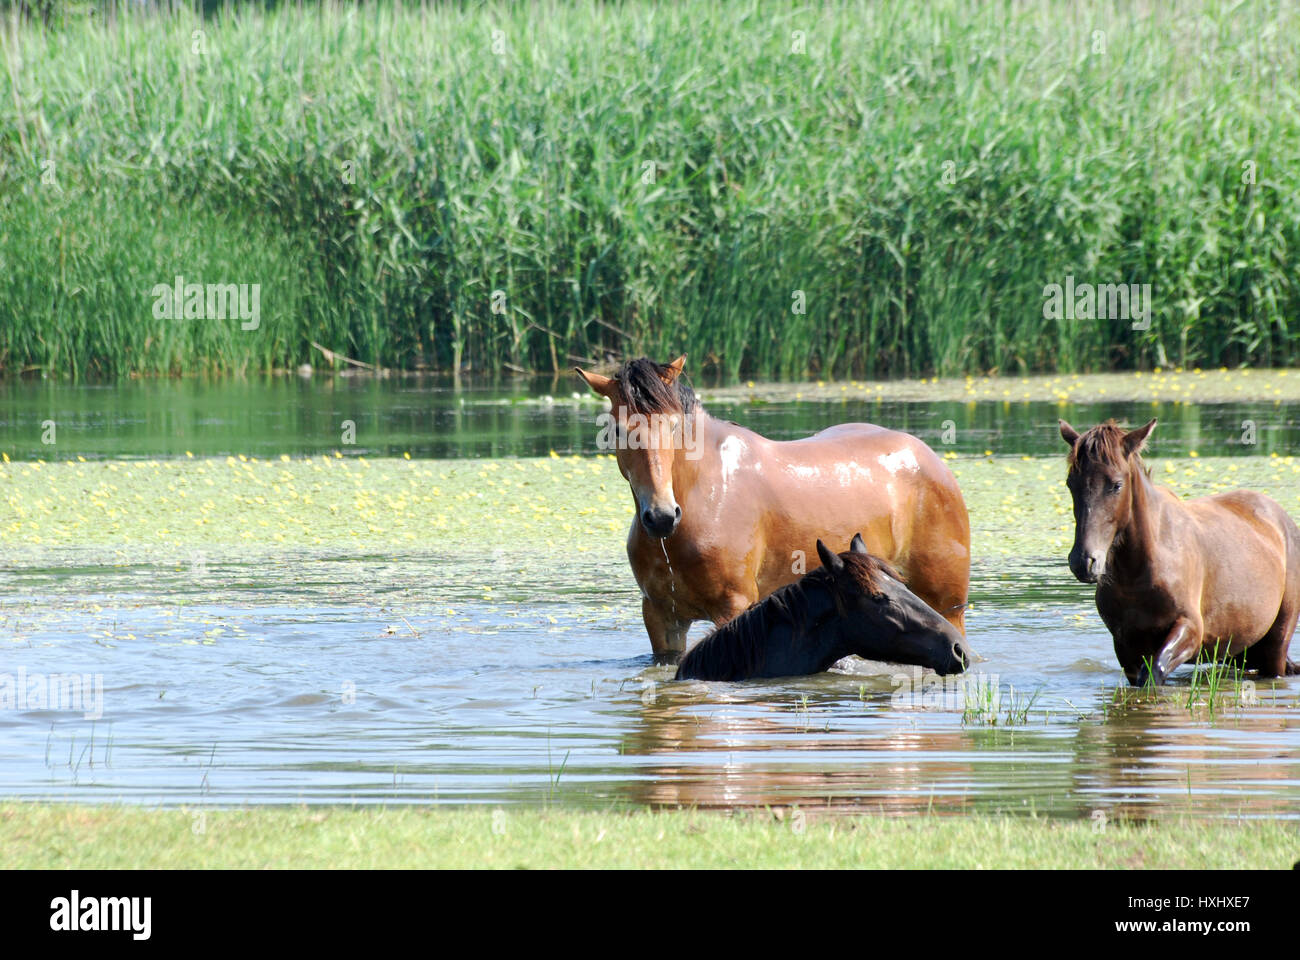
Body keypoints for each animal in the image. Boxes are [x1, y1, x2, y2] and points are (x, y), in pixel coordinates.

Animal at [575, 355, 971, 663]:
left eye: (674, 426)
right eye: (617, 430)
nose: (660, 517)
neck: (706, 499)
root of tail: (930, 459)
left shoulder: (732, 608)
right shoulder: (661, 618)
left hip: (947, 604)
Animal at [1059, 417, 1300, 685]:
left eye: (1116, 485)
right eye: (1071, 483)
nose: (1083, 562)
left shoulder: (1190, 629)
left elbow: (1154, 673)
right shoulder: (1125, 646)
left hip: (1277, 642)